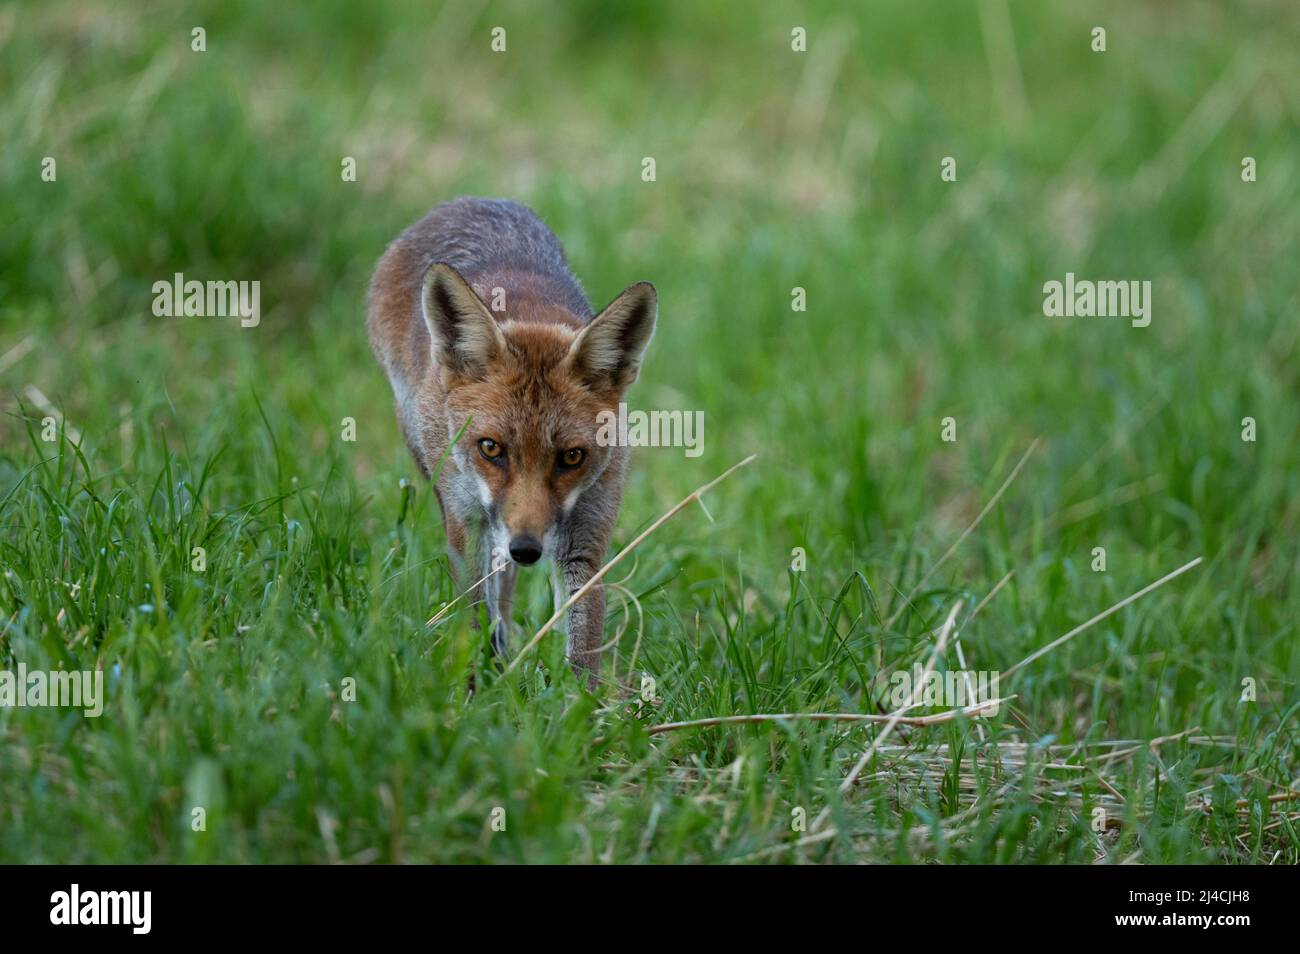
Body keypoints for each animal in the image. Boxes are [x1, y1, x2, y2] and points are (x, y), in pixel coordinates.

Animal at [367, 198, 656, 687]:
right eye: (490, 448)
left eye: (572, 457)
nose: (527, 550)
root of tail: (471, 200)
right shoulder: (466, 522)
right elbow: (471, 615)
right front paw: (470, 691)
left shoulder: (587, 534)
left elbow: (583, 641)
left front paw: (581, 705)